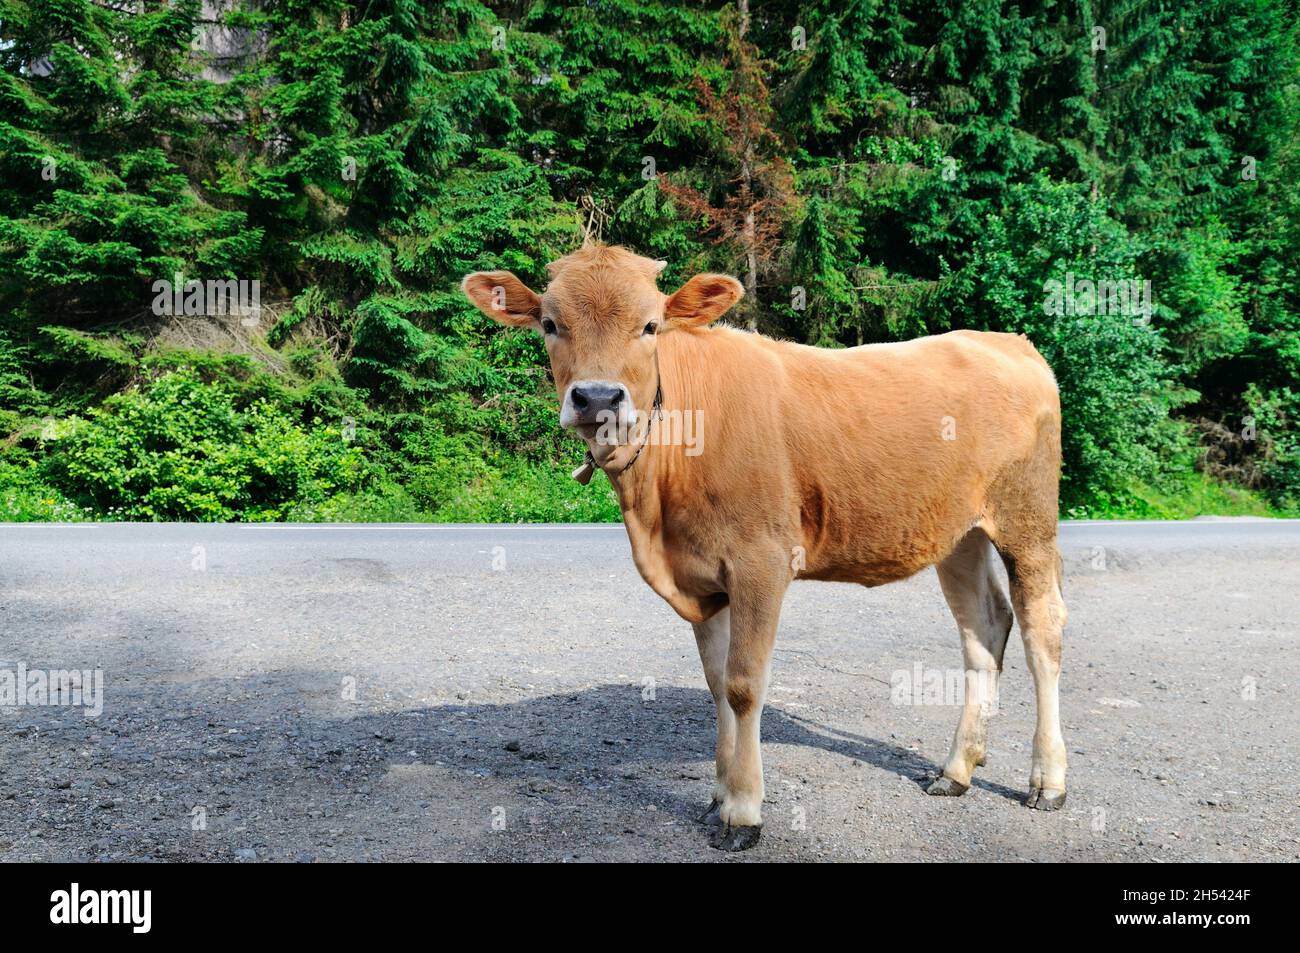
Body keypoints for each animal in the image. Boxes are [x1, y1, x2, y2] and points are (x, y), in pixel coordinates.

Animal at [462, 244, 1068, 851]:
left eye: (650, 326)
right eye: (550, 324)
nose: (596, 398)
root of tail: (1005, 340)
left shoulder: (761, 562)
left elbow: (744, 685)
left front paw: (743, 811)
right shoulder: (703, 575)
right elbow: (715, 684)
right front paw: (718, 794)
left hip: (1028, 520)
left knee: (1042, 632)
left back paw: (1049, 780)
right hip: (959, 533)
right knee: (983, 630)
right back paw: (956, 769)